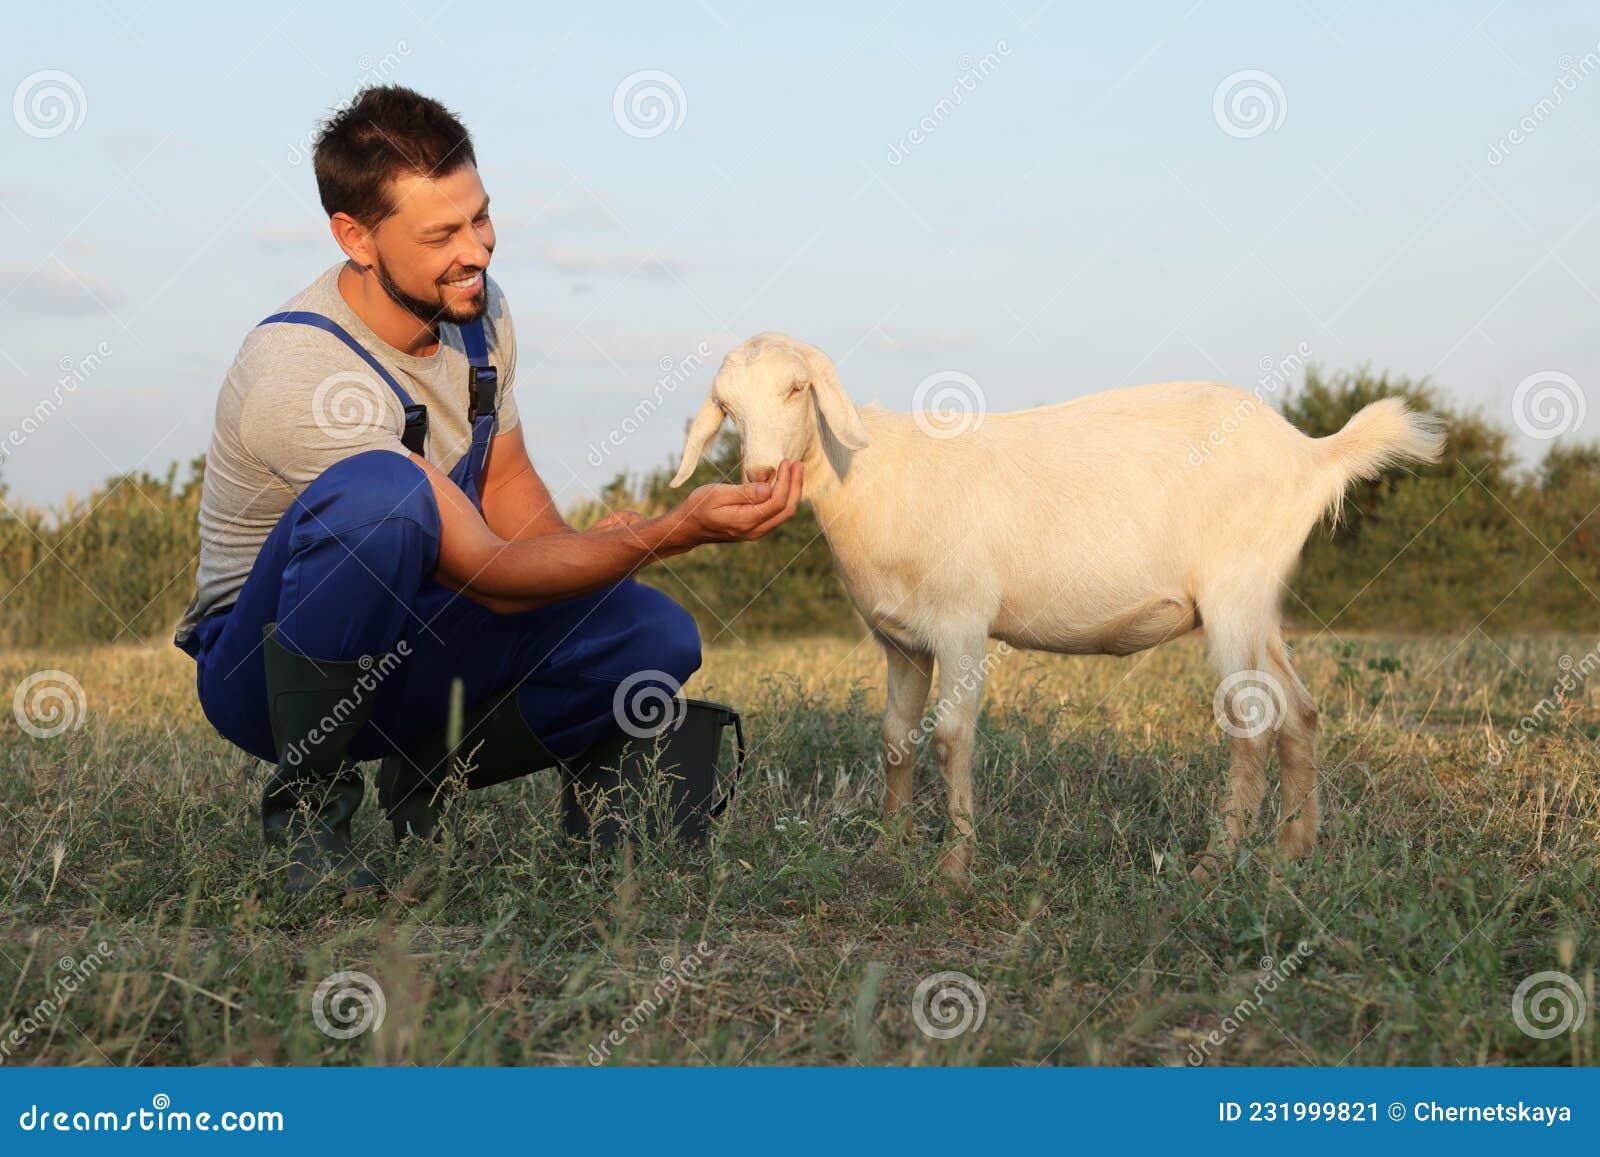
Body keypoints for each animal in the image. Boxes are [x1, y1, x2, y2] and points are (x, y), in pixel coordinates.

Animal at [670, 333, 1446, 884]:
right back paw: (1291, 851)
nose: (759, 477)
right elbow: (894, 737)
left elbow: (951, 736)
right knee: (1300, 710)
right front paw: (890, 848)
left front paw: (953, 867)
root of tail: (1312, 455)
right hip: (1259, 604)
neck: (871, 477)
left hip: (1233, 594)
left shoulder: (961, 622)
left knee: (1251, 720)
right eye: (728, 408)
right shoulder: (901, 640)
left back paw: (1213, 864)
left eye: (798, 388)